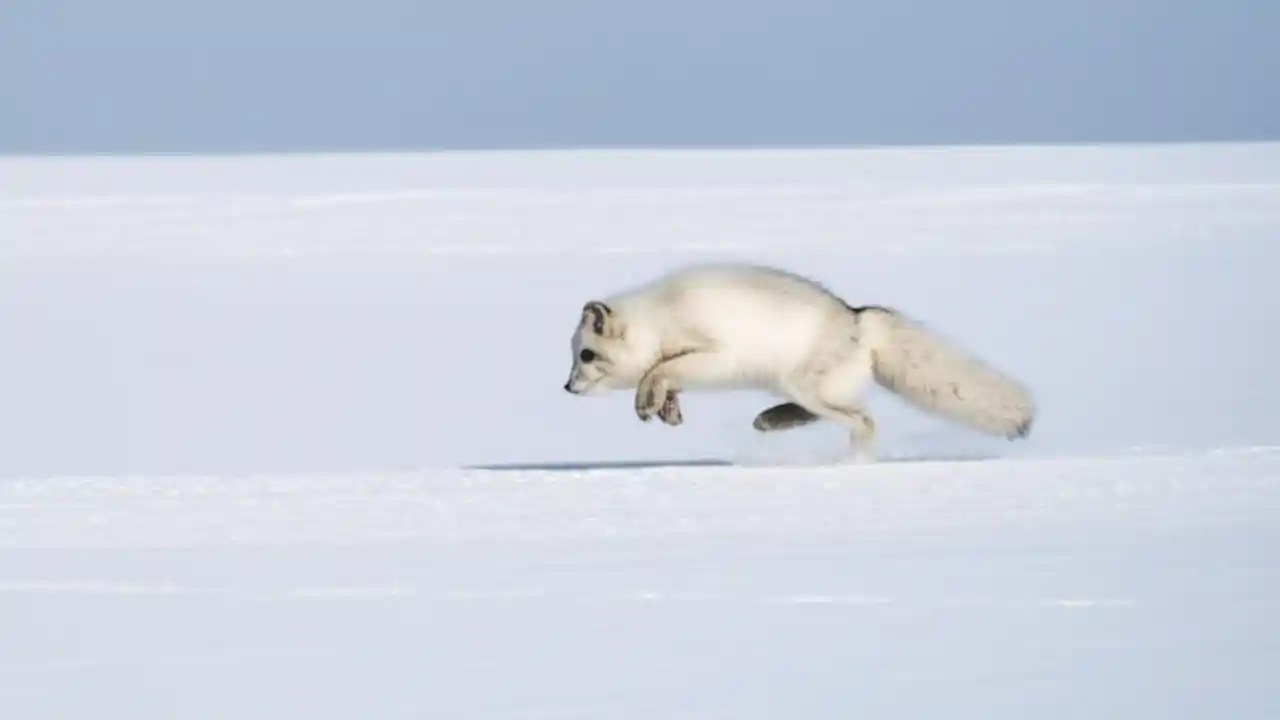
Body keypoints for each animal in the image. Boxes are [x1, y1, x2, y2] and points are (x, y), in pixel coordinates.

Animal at [563, 264, 1034, 459]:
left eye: (586, 354)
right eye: (573, 355)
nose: (566, 387)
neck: (656, 324)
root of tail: (858, 319)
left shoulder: (711, 354)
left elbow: (659, 371)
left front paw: (646, 403)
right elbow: (665, 379)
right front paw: (668, 410)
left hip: (808, 386)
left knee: (864, 421)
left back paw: (853, 463)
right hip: (803, 389)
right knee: (833, 413)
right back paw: (769, 420)